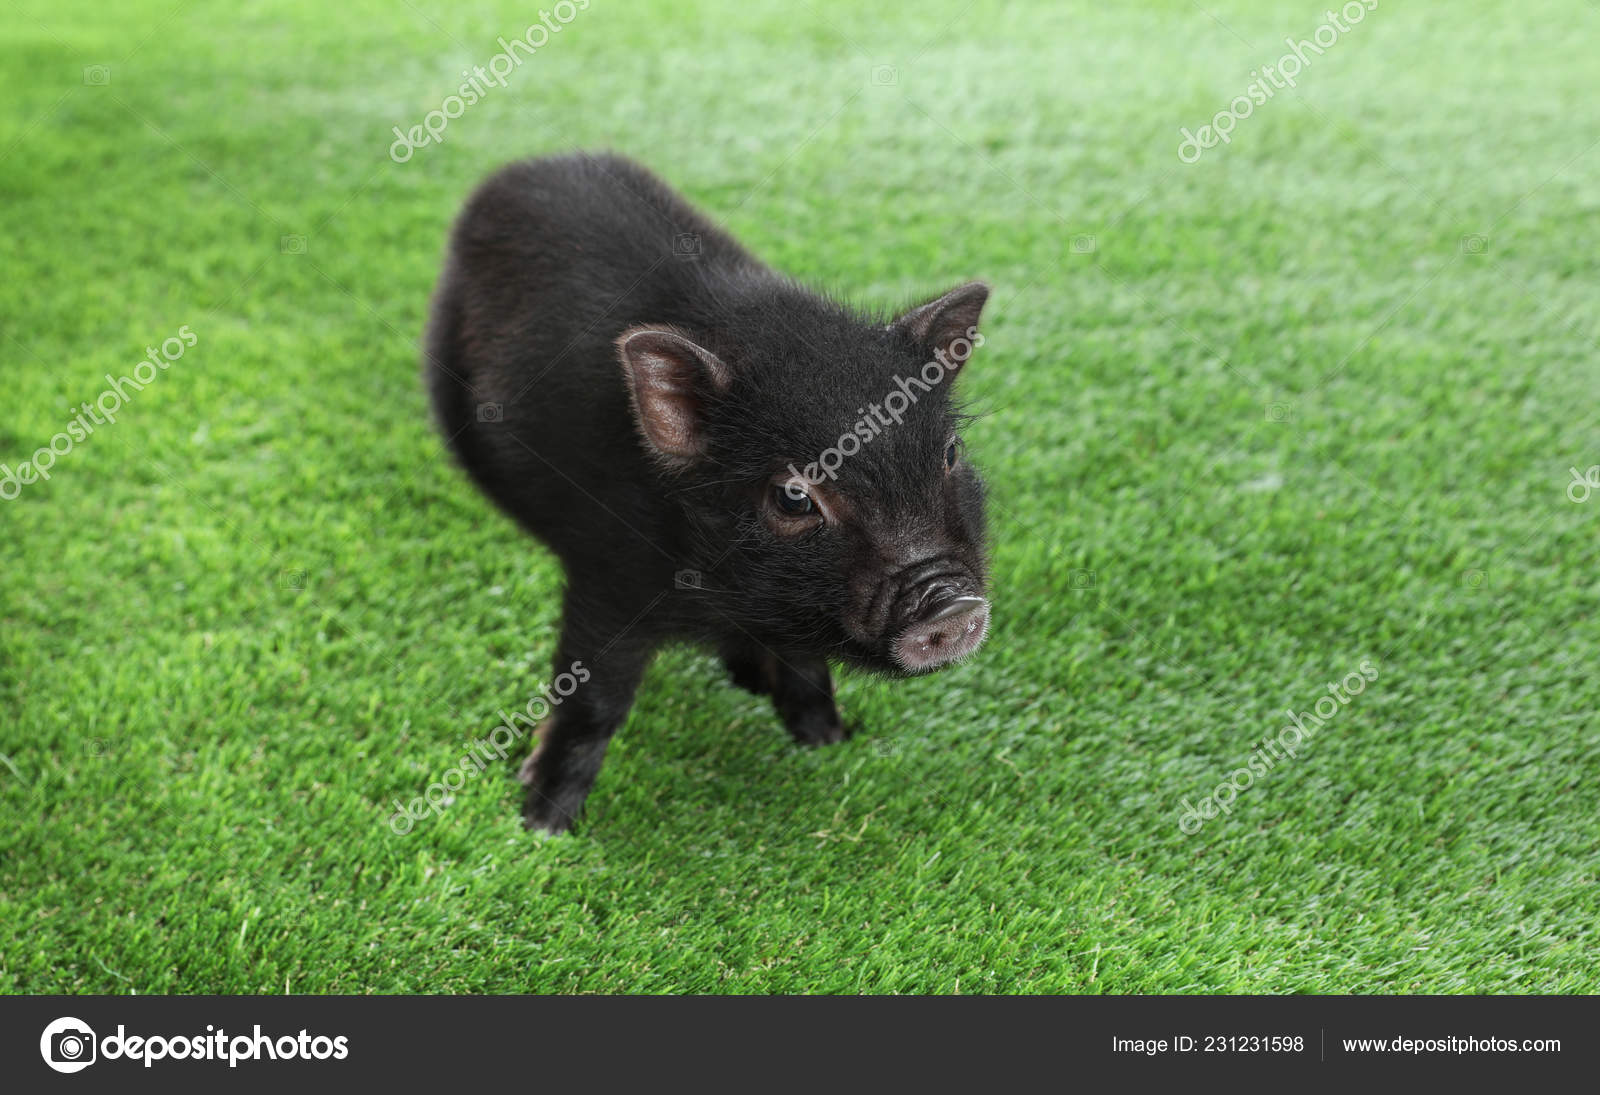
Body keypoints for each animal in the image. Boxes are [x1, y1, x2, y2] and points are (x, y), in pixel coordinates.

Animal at [424, 152, 992, 834]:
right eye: (794, 497)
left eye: (950, 454)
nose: (952, 603)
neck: (728, 598)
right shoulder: (606, 580)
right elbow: (593, 703)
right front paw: (542, 823)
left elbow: (806, 666)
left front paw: (826, 742)